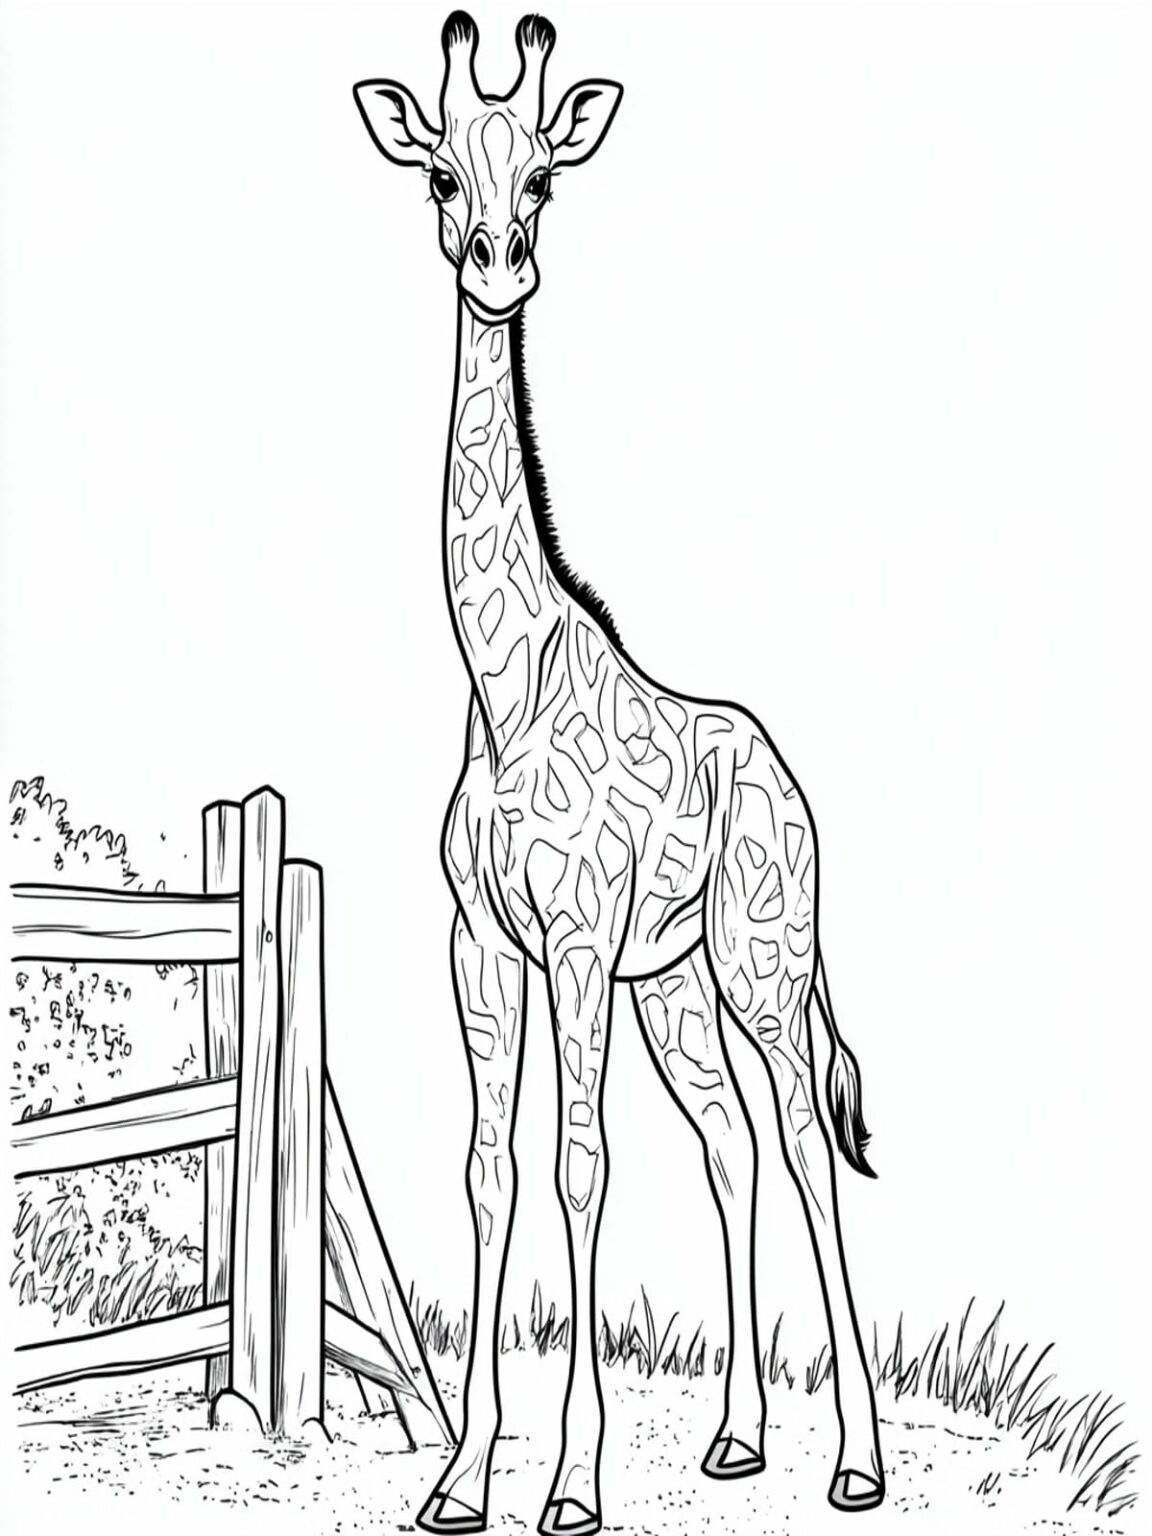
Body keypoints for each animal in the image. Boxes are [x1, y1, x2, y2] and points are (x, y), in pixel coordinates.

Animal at [354, 14, 885, 1534]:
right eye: (438, 179)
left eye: (542, 177)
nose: (496, 267)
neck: (501, 680)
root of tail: (790, 780)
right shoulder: (484, 943)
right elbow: (488, 1173)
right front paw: (462, 1480)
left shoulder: (579, 939)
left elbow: (579, 1167)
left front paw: (572, 1484)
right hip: (681, 988)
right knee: (733, 1144)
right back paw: (739, 1440)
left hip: (763, 960)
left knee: (806, 1146)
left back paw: (858, 1462)